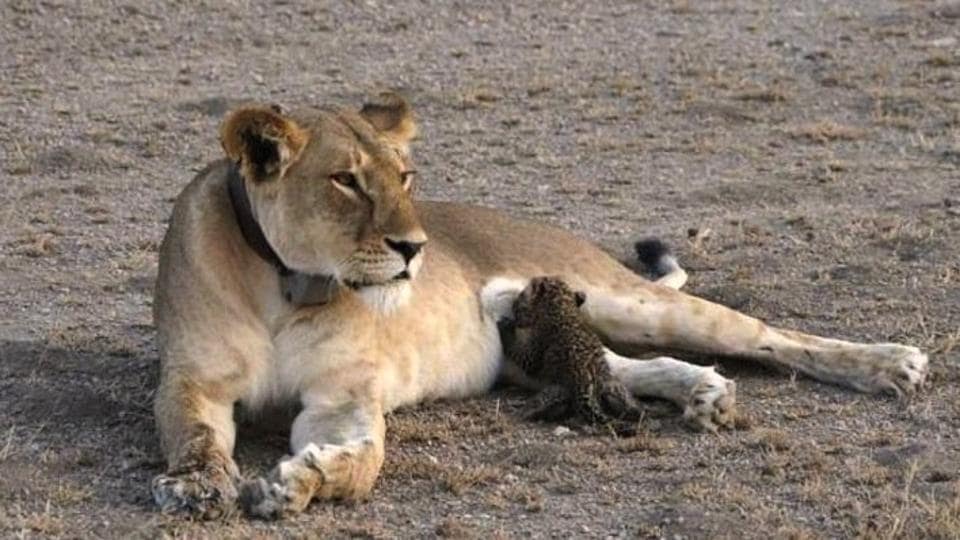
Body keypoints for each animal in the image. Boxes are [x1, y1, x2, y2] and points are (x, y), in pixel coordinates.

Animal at [150, 93, 928, 520]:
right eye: (345, 181)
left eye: (405, 176)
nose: (415, 248)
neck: (288, 284)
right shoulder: (190, 380)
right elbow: (194, 435)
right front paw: (197, 487)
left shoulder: (343, 397)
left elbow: (362, 459)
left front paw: (301, 482)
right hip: (535, 344)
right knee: (622, 366)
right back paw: (704, 393)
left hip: (622, 298)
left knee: (764, 334)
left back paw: (891, 363)